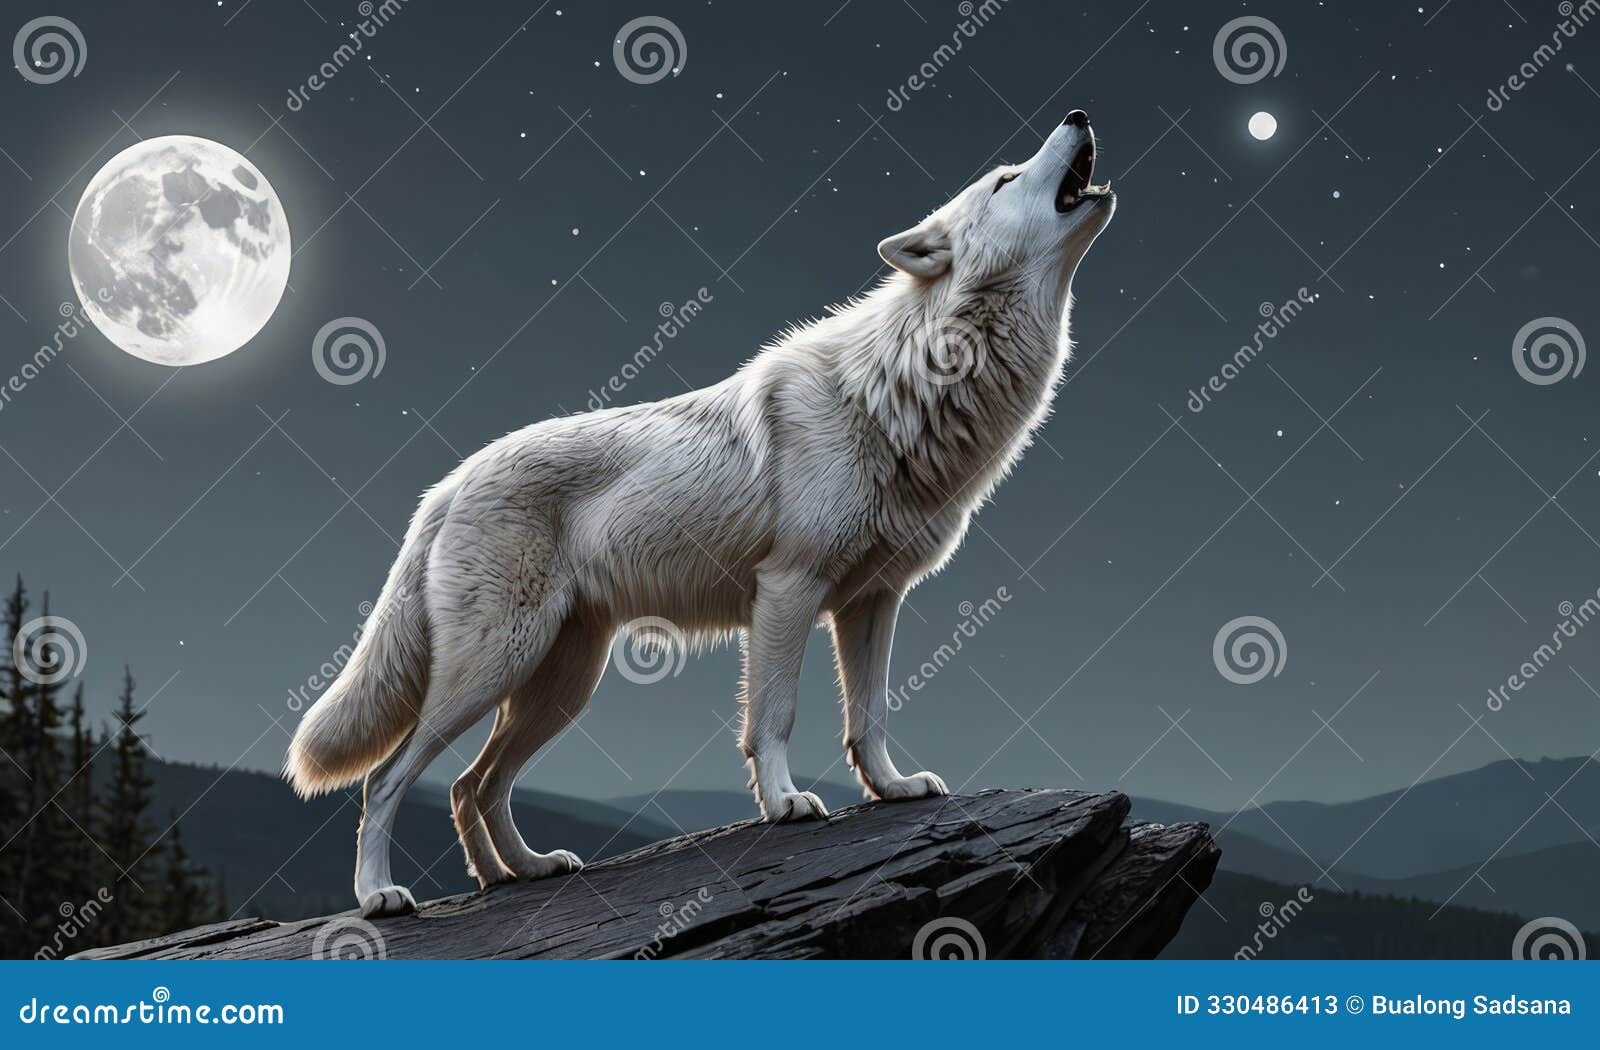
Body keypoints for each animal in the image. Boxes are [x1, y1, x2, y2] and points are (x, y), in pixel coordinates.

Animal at [285, 110, 1115, 918]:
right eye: (1005, 177)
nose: (1078, 113)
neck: (906, 385)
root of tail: (445, 487)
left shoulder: (874, 601)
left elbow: (870, 716)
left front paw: (892, 789)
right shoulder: (788, 588)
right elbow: (774, 715)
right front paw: (785, 803)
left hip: (559, 684)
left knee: (473, 785)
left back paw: (515, 874)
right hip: (493, 667)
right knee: (389, 778)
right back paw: (380, 897)